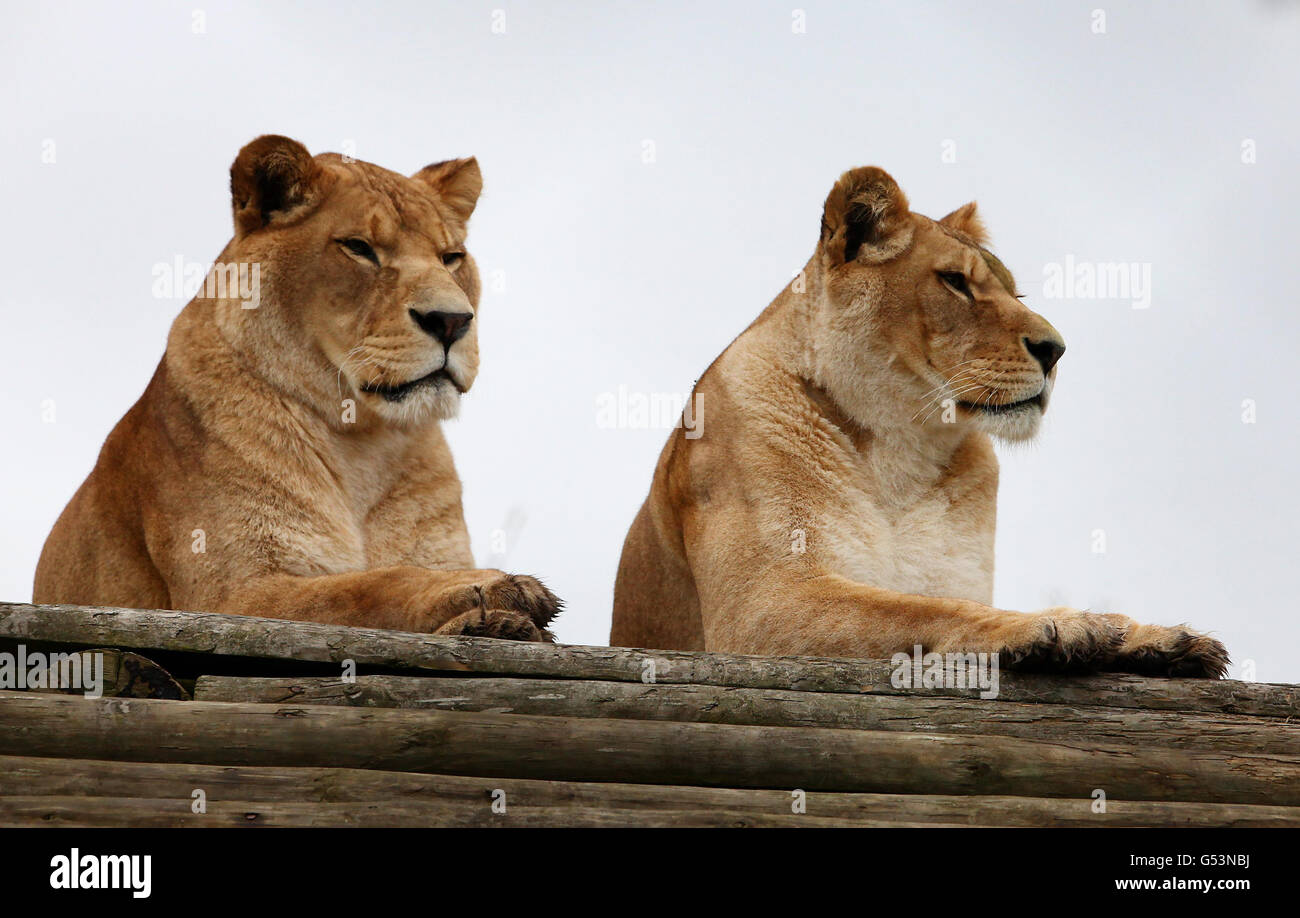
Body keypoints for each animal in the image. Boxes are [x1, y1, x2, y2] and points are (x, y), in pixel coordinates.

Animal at [34, 135, 559, 641]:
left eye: (452, 258)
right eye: (358, 247)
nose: (451, 321)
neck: (364, 444)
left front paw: (495, 620)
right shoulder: (230, 599)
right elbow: (368, 587)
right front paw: (495, 589)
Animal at [611, 166, 1227, 677]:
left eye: (1017, 292)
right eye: (956, 282)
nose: (1055, 350)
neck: (899, 449)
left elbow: (928, 599)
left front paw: (1156, 639)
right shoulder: (760, 603)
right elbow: (919, 610)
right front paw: (1061, 625)